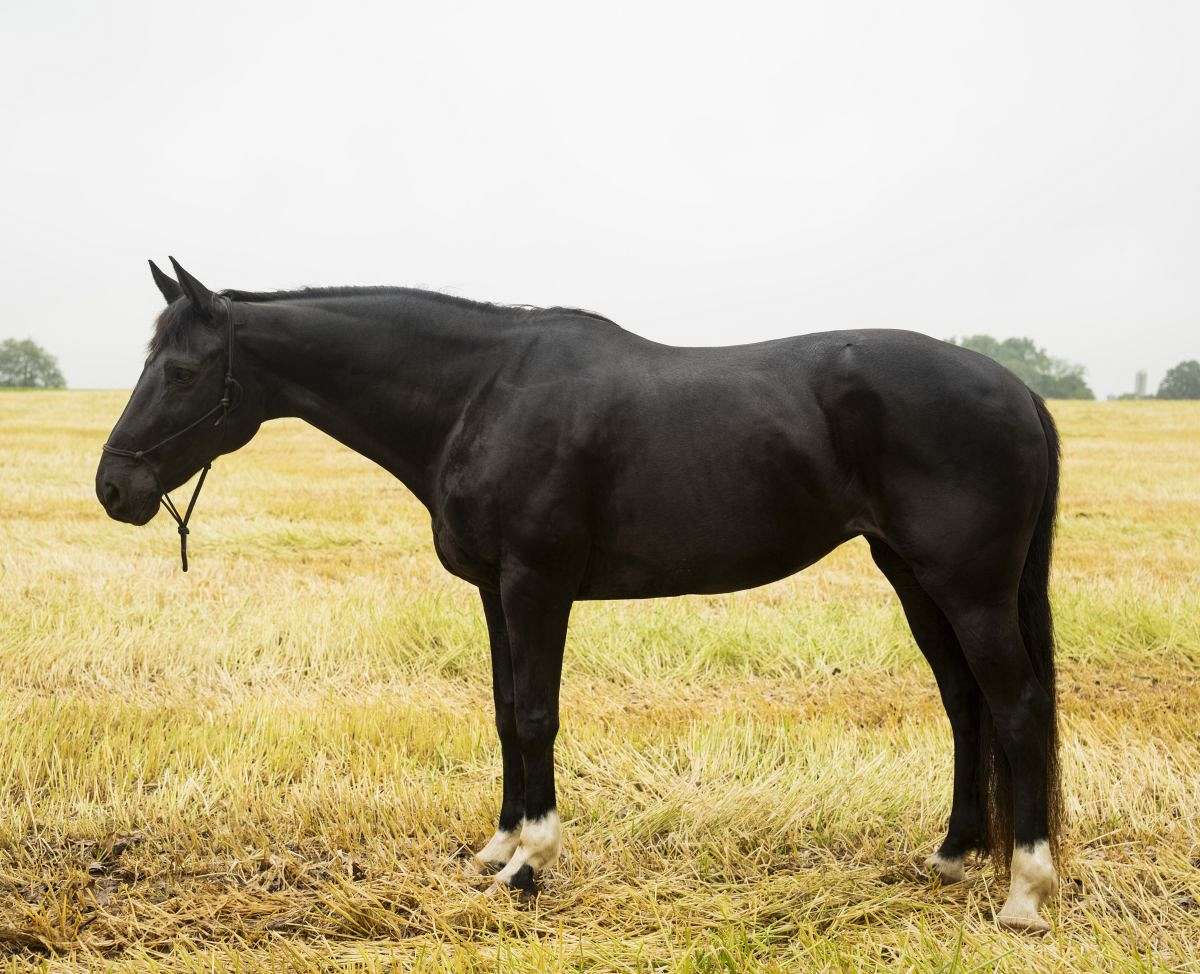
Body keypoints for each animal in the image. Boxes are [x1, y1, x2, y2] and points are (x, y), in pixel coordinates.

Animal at [96, 259, 1063, 932]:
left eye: (180, 372)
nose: (113, 488)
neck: (479, 397)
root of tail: (1019, 390)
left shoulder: (537, 585)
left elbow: (536, 715)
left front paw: (531, 863)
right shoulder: (495, 592)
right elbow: (502, 709)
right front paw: (494, 848)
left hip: (970, 588)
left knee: (1014, 707)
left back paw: (1024, 892)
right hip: (914, 578)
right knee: (965, 704)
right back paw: (953, 855)